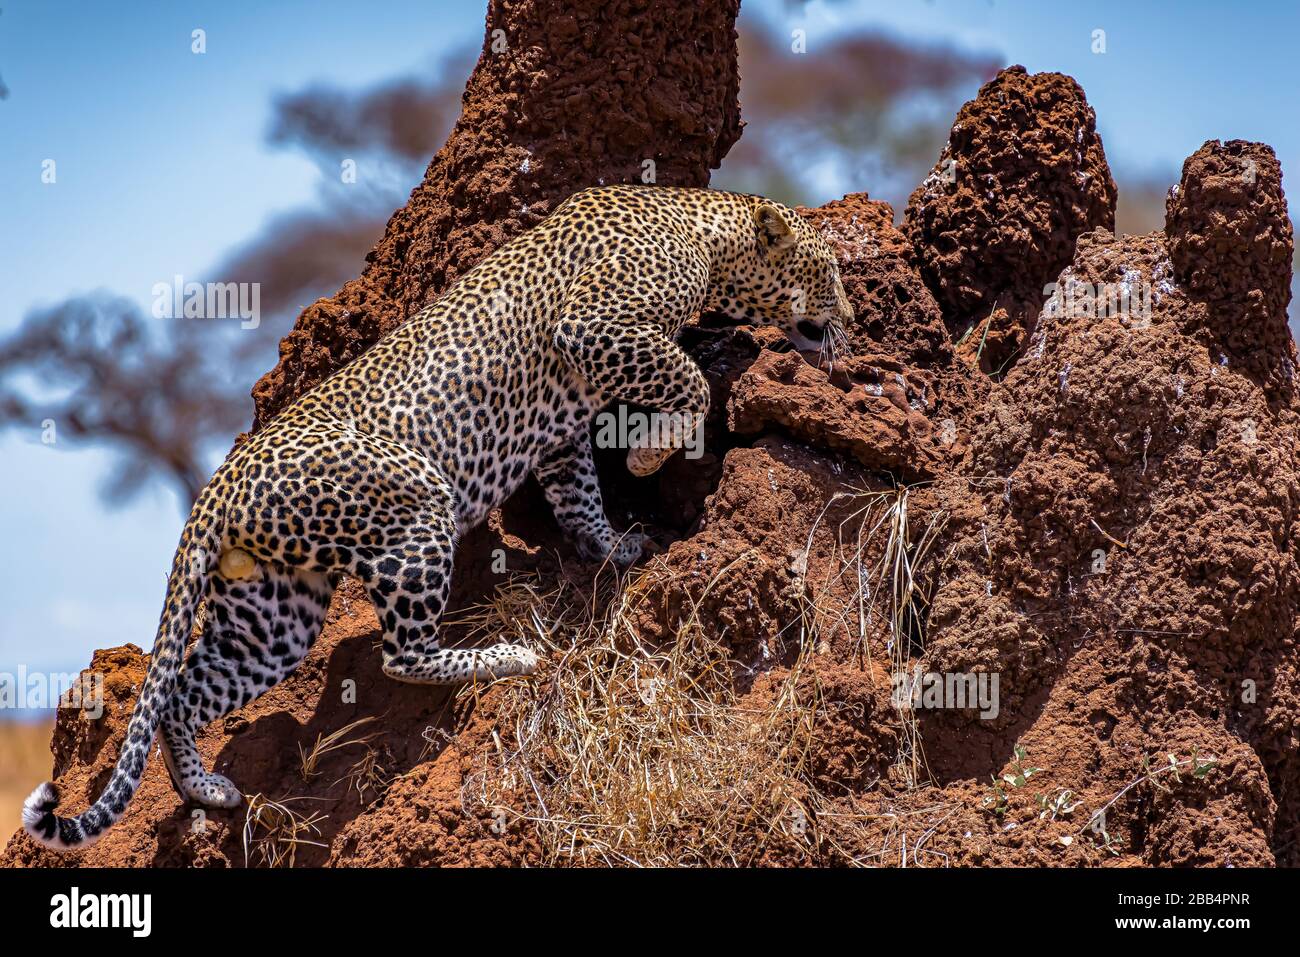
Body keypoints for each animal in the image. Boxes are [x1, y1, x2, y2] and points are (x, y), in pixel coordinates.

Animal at [24, 184, 852, 850]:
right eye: (831, 271)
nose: (845, 319)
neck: (704, 230)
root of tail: (214, 487)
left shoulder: (561, 434)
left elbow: (579, 495)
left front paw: (613, 544)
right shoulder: (594, 327)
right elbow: (688, 381)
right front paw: (651, 456)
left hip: (274, 608)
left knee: (186, 692)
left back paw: (207, 789)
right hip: (418, 504)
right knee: (401, 653)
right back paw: (507, 657)